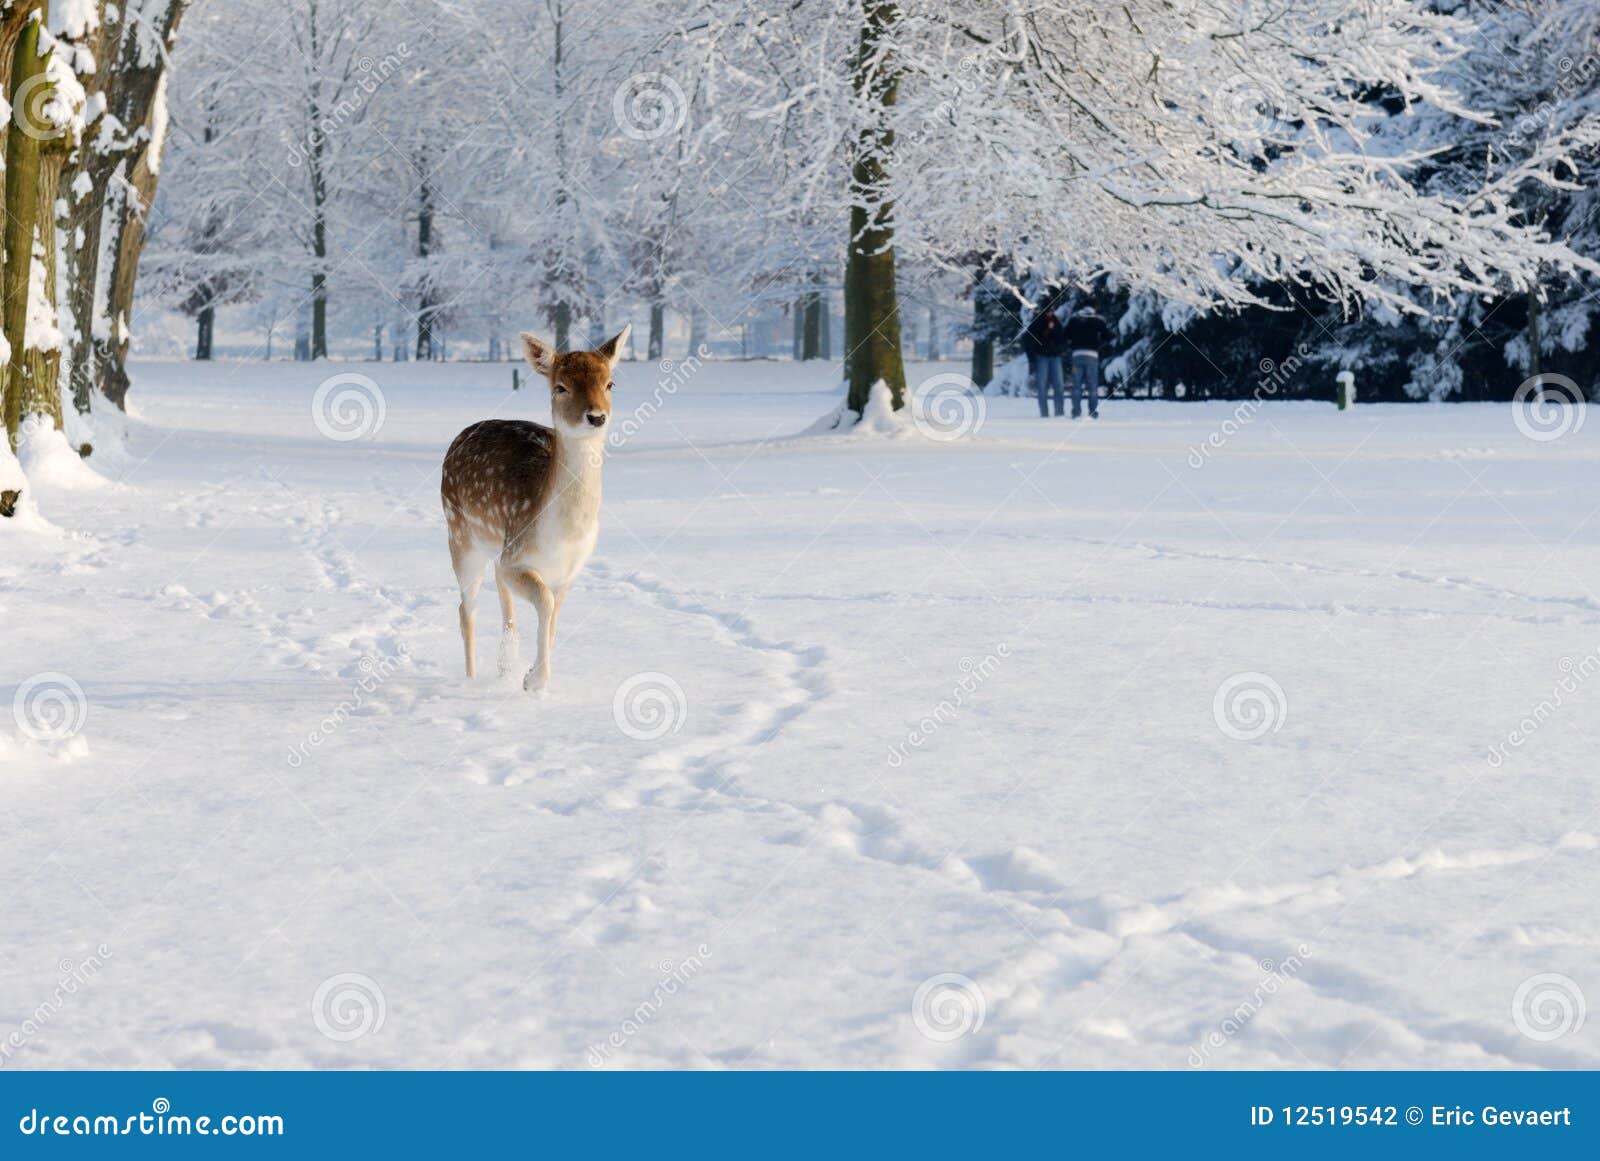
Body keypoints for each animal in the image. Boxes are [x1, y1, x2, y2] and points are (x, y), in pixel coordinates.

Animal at [440, 324, 630, 692]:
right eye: (561, 386)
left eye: (610, 383)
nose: (596, 416)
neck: (563, 534)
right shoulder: (516, 554)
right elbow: (544, 601)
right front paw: (533, 679)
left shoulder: (568, 572)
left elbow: (553, 618)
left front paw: (529, 674)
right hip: (460, 535)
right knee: (466, 610)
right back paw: (472, 679)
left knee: (500, 597)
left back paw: (504, 667)